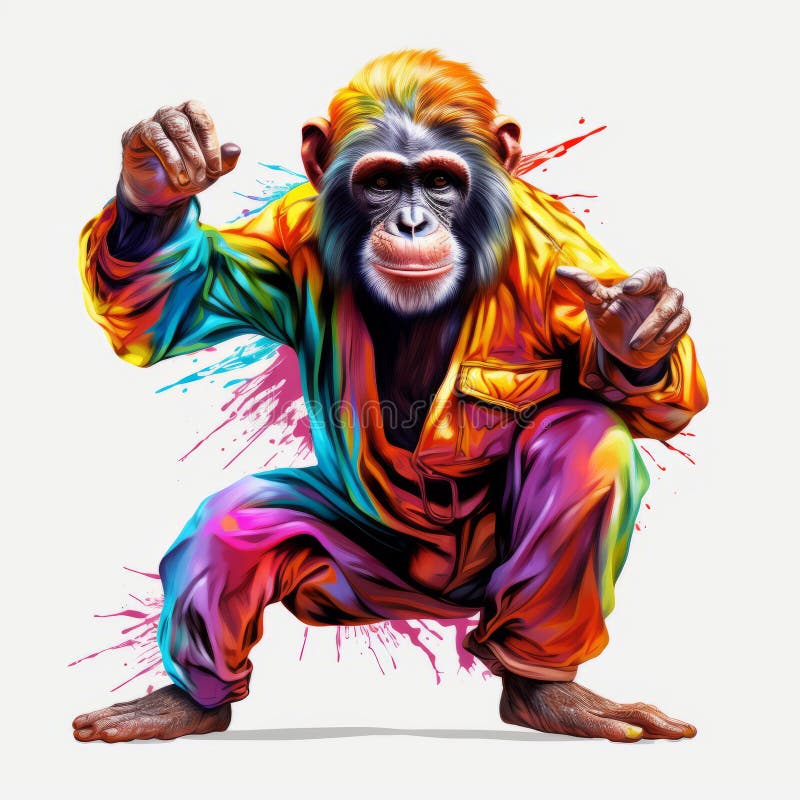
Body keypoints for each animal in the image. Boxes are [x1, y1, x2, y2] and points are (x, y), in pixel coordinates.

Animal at [73, 50, 707, 744]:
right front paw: (160, 163)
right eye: (380, 183)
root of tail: (436, 603)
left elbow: (652, 409)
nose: (410, 222)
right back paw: (188, 703)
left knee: (585, 438)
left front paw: (636, 329)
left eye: (439, 181)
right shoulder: (284, 237)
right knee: (231, 528)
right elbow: (181, 298)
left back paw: (546, 690)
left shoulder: (563, 255)